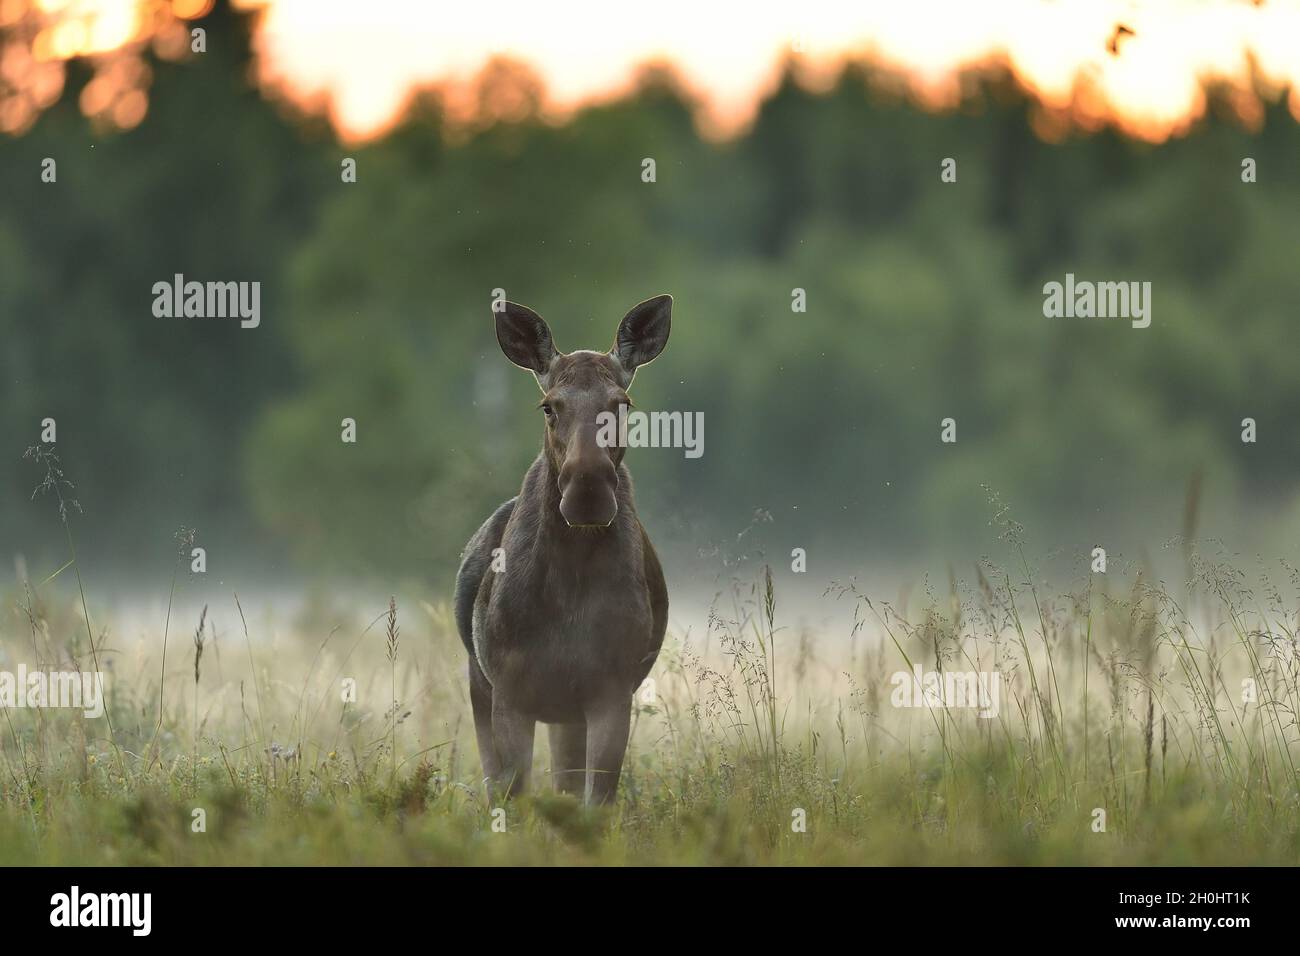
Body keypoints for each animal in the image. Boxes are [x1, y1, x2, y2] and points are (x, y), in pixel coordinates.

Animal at [454, 295, 672, 806]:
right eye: (549, 407)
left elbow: (595, 802)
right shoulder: (508, 690)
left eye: (622, 403)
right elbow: (511, 797)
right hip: (478, 679)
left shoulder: (611, 690)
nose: (587, 493)